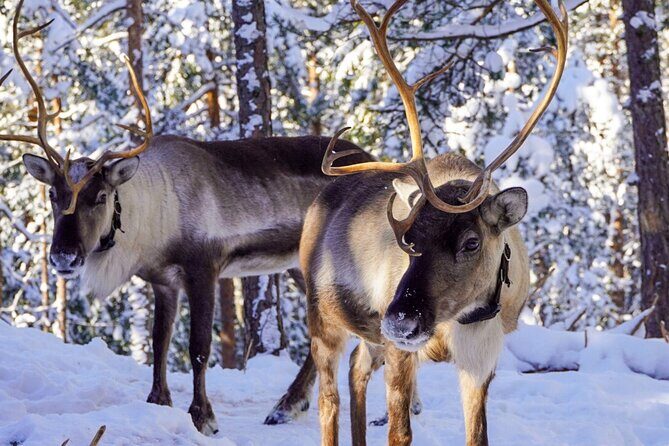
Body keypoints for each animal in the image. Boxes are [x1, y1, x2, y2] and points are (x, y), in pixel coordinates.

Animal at [0, 0, 373, 435]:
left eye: (101, 196)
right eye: (53, 195)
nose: (63, 256)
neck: (154, 220)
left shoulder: (204, 268)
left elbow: (199, 347)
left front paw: (202, 416)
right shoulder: (162, 281)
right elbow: (159, 342)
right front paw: (158, 401)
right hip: (302, 265)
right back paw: (287, 406)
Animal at [302, 0, 568, 445]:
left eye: (471, 242)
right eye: (408, 240)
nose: (400, 319)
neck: (458, 321)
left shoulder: (481, 359)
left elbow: (478, 435)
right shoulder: (400, 350)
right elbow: (399, 432)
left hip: (370, 338)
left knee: (356, 369)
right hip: (324, 321)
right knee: (327, 402)